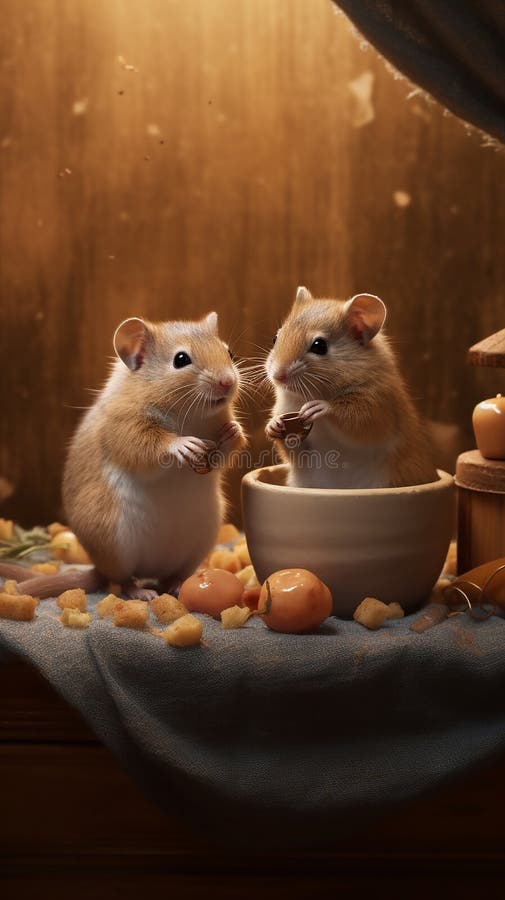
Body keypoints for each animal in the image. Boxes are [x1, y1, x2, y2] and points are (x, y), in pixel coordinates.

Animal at [0, 313, 246, 599]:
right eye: (181, 360)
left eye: (229, 352)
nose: (227, 382)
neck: (189, 413)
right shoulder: (128, 430)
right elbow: (154, 445)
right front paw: (182, 444)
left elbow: (220, 457)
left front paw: (234, 431)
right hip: (117, 544)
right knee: (123, 580)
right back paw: (142, 593)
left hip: (200, 542)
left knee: (169, 576)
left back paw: (176, 584)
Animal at [264, 286, 437, 490]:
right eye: (276, 338)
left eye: (319, 346)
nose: (277, 376)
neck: (310, 394)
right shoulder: (302, 450)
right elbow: (292, 447)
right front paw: (273, 425)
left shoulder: (375, 409)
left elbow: (345, 414)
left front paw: (318, 407)